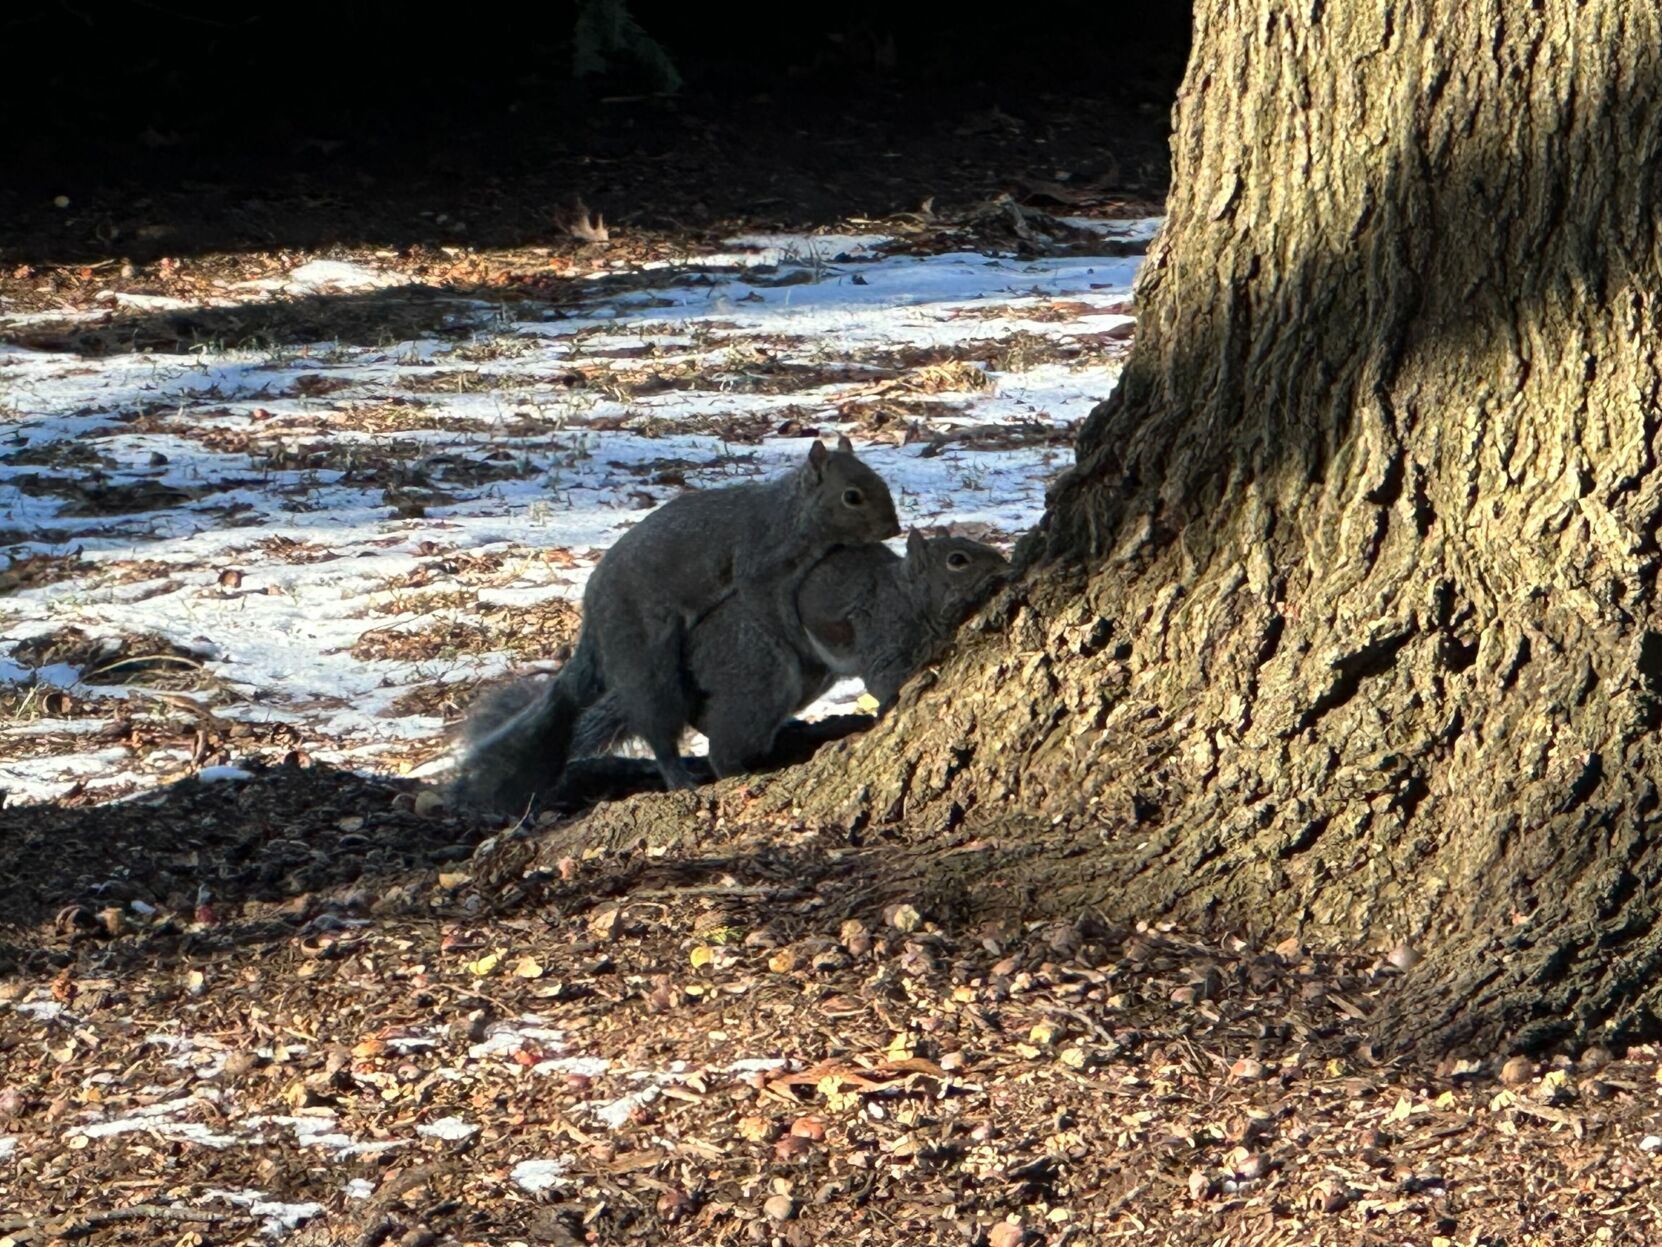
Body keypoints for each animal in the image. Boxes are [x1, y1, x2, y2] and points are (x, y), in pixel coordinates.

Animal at [451, 435, 899, 811]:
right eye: (852, 497)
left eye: (880, 479)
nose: (893, 528)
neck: (791, 514)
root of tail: (593, 622)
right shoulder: (759, 561)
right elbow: (767, 606)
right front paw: (790, 634)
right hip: (646, 652)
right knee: (658, 725)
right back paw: (679, 777)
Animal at [566, 530, 1010, 773]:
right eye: (957, 560)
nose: (1004, 564)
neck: (906, 594)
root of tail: (689, 650)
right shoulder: (882, 635)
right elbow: (886, 680)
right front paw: (911, 684)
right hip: (759, 672)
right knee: (726, 737)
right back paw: (737, 770)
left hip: (810, 679)